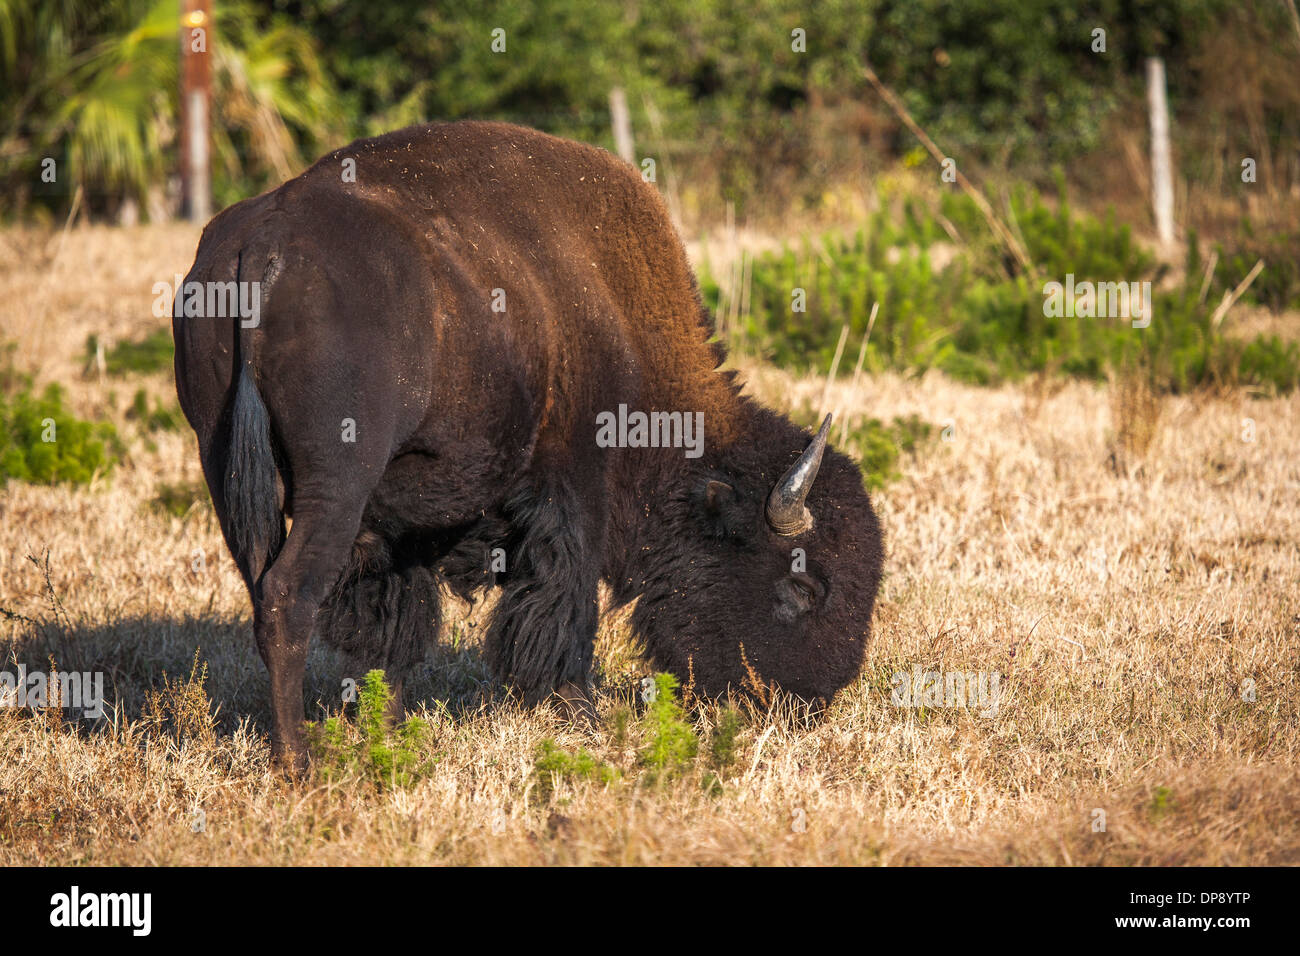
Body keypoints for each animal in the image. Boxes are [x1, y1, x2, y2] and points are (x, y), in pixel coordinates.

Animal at [173, 121, 883, 767]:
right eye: (803, 588)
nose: (807, 707)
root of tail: (265, 246)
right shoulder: (571, 494)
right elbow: (562, 608)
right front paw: (584, 716)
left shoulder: (405, 520)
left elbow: (398, 624)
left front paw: (390, 726)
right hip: (336, 485)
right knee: (288, 596)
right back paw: (298, 762)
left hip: (226, 466)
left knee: (263, 589)